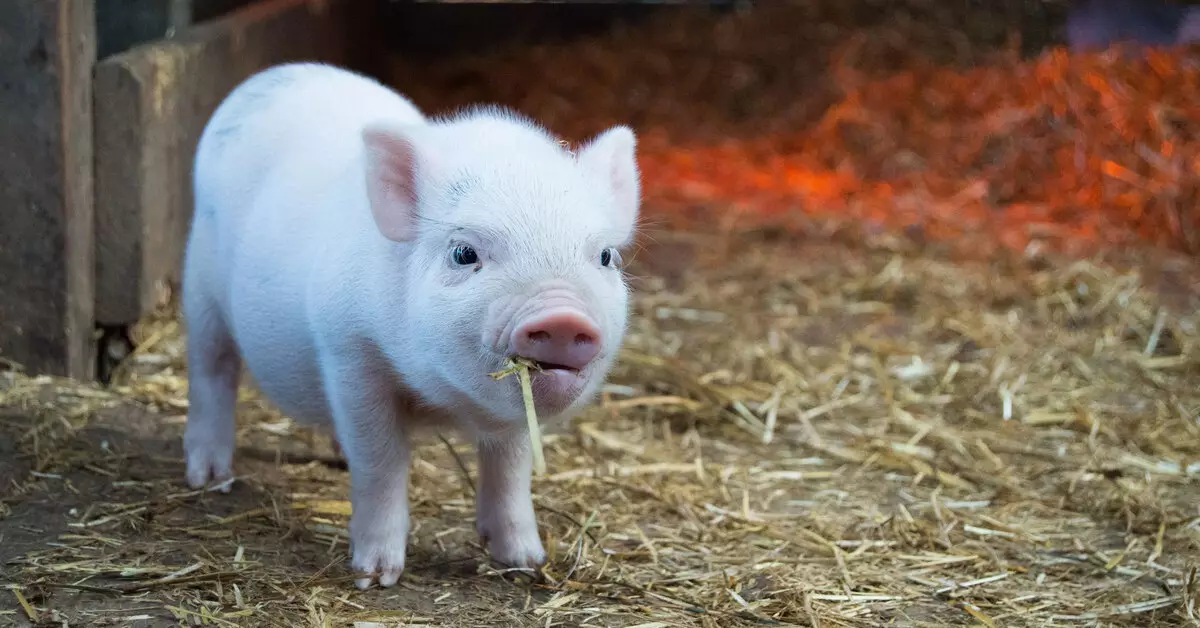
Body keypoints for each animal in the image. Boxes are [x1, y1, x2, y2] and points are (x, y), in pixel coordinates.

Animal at [180, 62, 638, 590]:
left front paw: (525, 561)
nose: (562, 316)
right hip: (200, 286)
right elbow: (381, 461)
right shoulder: (349, 352)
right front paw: (375, 577)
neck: (444, 401)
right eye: (464, 252)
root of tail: (274, 75)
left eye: (605, 256)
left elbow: (510, 467)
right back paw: (209, 478)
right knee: (212, 369)